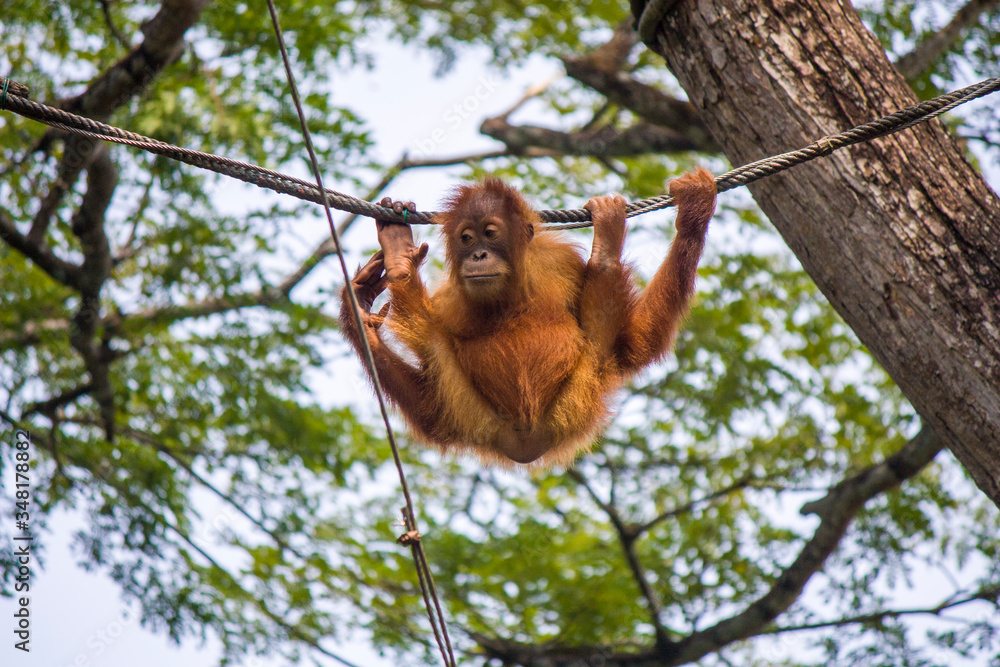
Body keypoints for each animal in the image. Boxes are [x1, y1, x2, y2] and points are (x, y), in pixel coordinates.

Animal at [339, 169, 717, 467]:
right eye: (466, 238)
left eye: (490, 233)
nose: (478, 255)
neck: (512, 295)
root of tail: (524, 447)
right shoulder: (447, 301)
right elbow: (432, 407)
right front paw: (360, 305)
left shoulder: (563, 263)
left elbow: (631, 344)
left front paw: (693, 213)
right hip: (479, 418)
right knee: (432, 342)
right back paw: (395, 266)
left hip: (576, 400)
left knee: (600, 344)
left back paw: (606, 252)